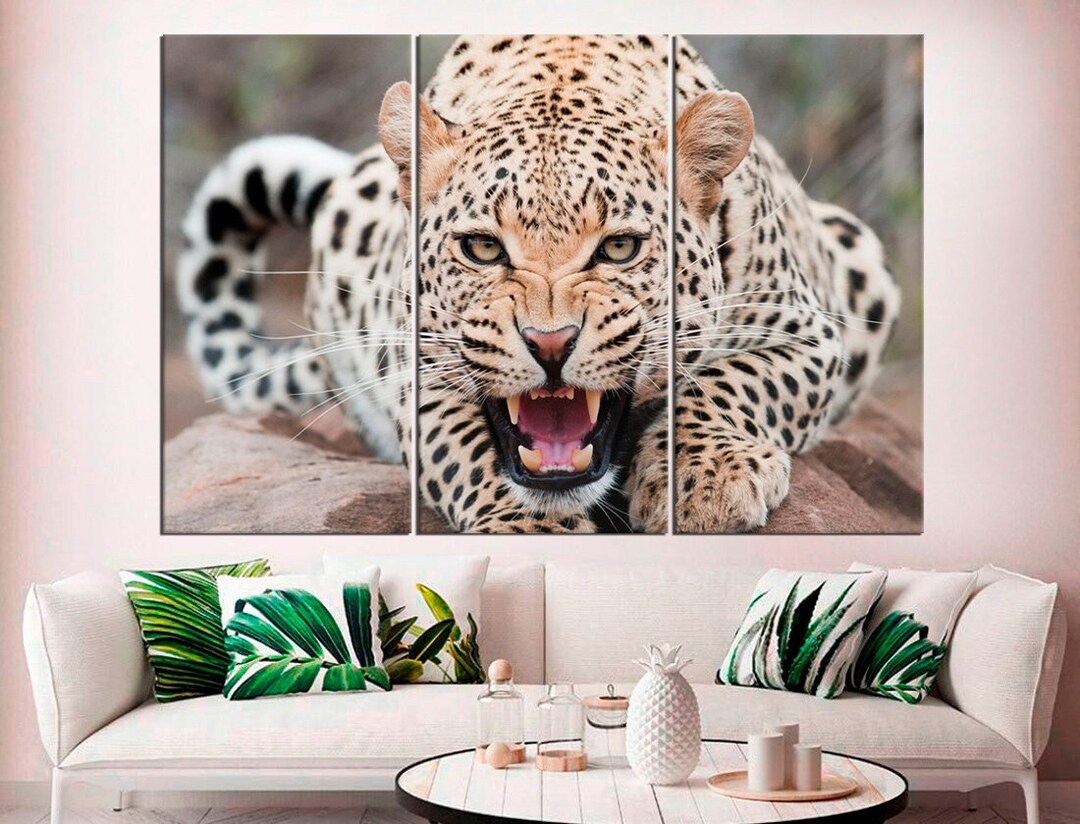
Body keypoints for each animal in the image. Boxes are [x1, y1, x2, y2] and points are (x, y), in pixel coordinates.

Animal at [176, 35, 899, 534]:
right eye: (482, 248)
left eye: (619, 248)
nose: (550, 344)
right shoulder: (414, 366)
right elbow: (465, 449)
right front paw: (529, 527)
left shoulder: (810, 332)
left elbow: (731, 384)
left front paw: (704, 481)